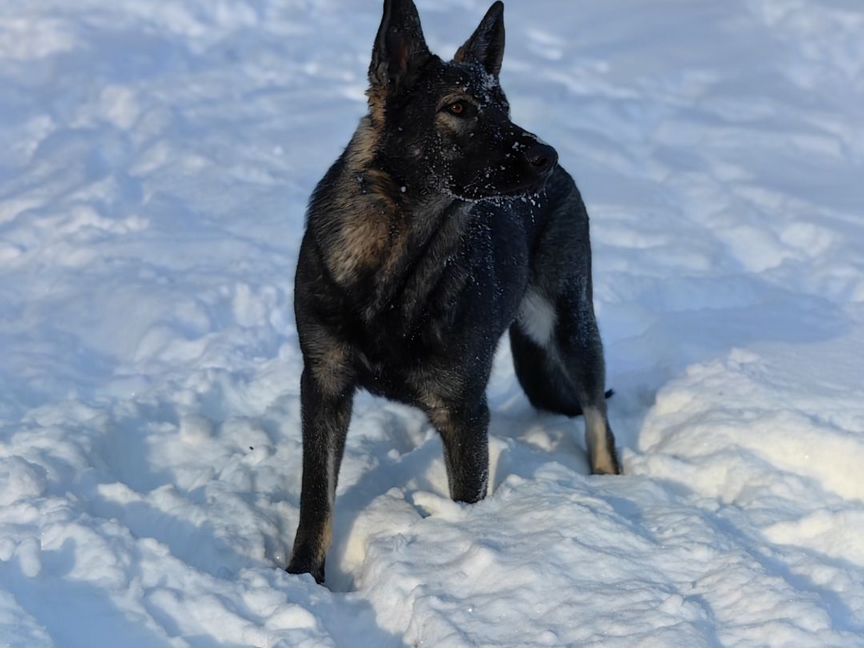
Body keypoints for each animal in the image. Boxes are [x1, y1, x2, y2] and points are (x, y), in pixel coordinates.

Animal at [290, 0, 620, 584]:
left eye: (504, 107)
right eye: (459, 107)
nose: (548, 155)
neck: (398, 265)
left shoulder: (464, 414)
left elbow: (468, 499)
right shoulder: (324, 386)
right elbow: (316, 502)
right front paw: (301, 579)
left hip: (569, 327)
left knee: (597, 417)